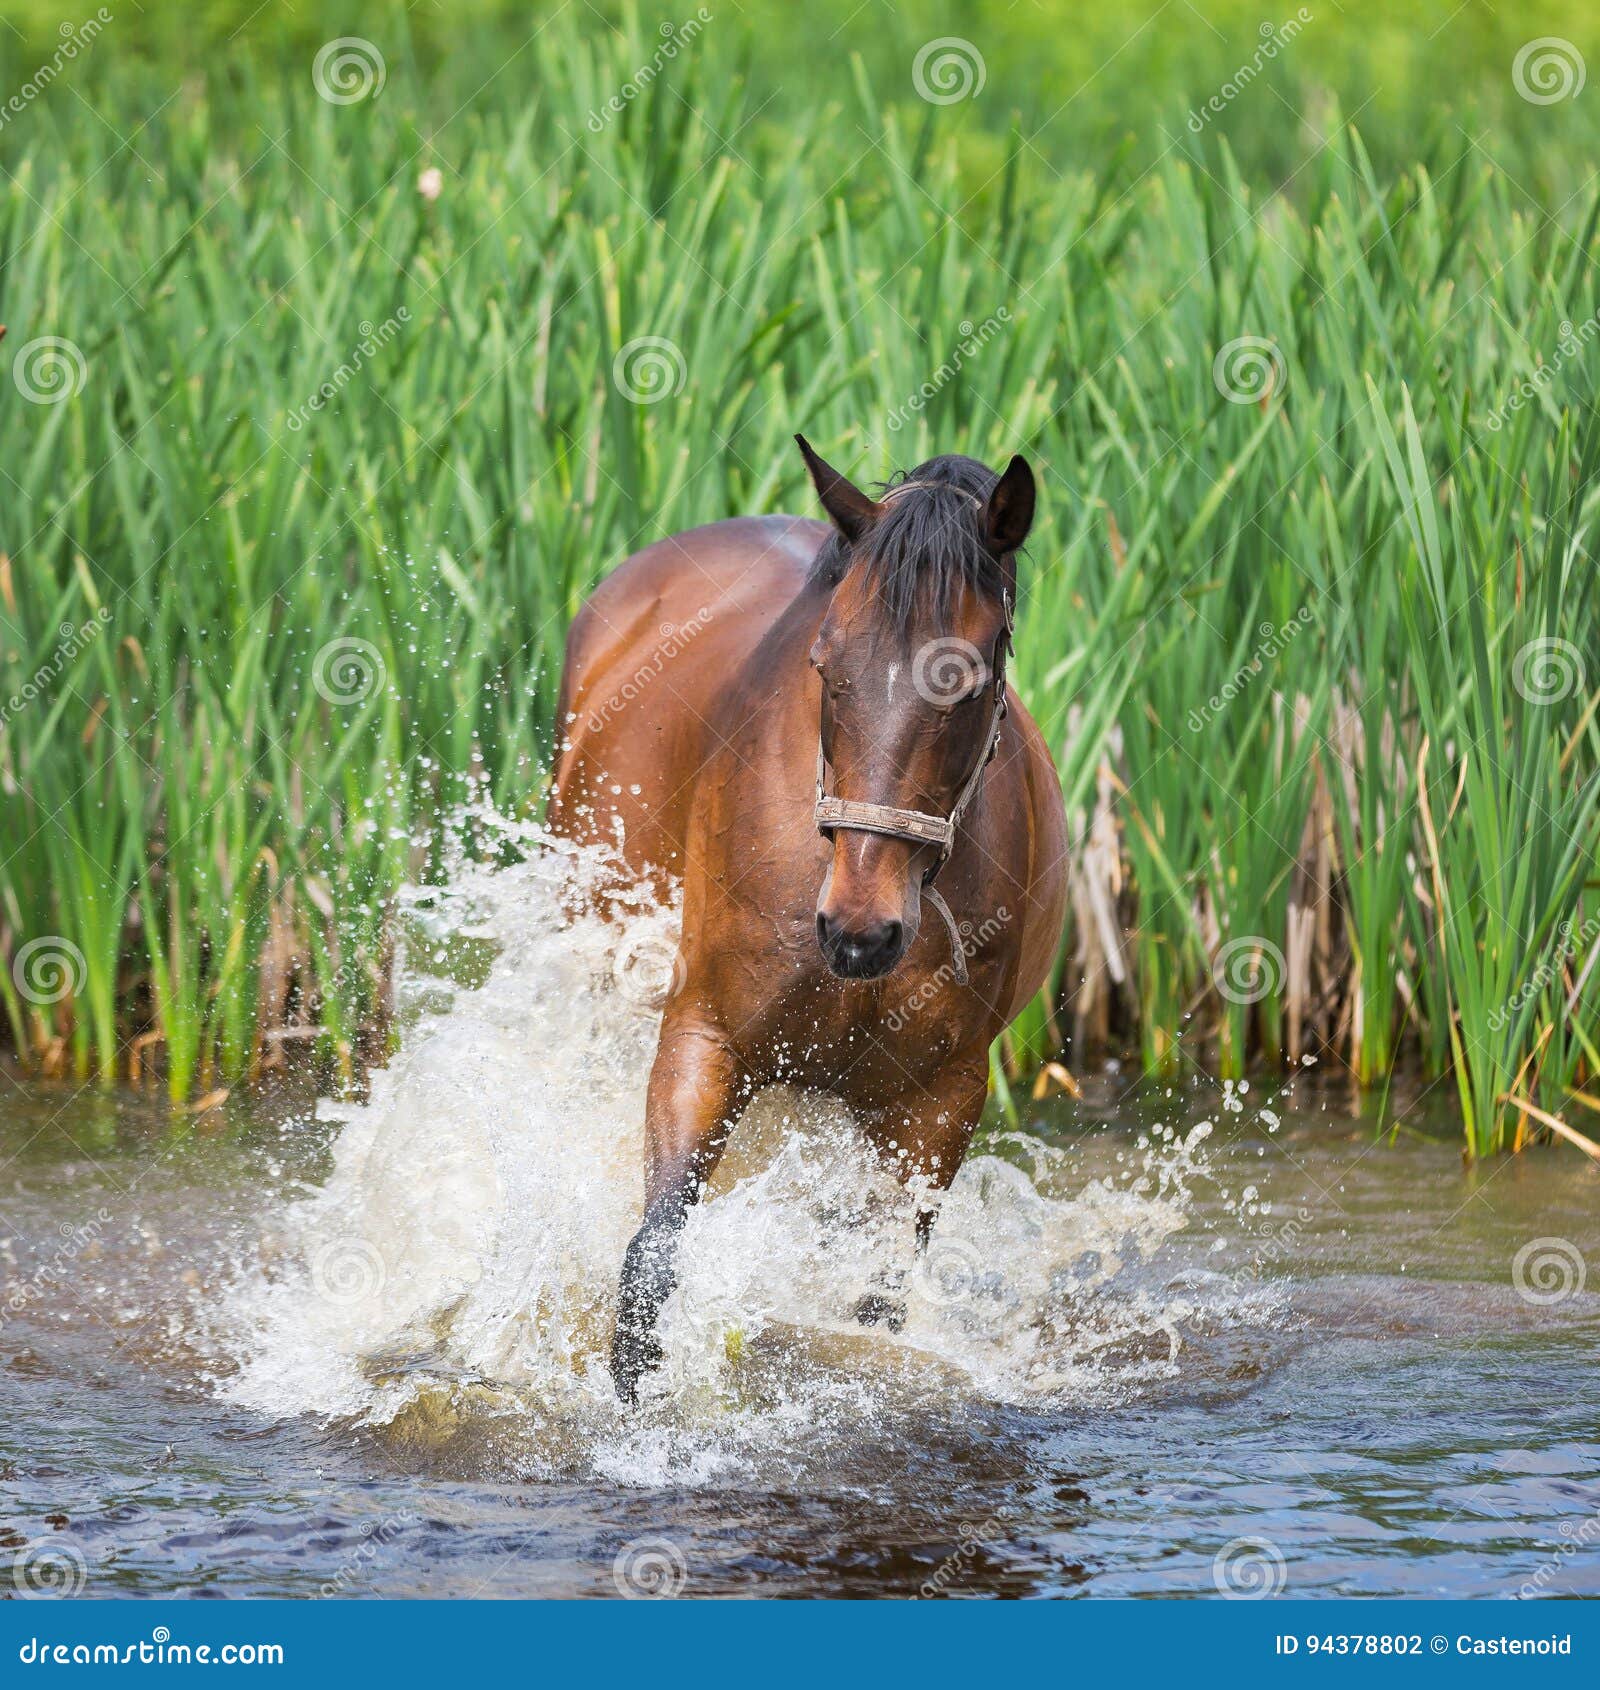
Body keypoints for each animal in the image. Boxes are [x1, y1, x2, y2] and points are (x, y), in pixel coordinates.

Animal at [547, 439, 1068, 1401]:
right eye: (827, 666)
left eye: (970, 678)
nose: (859, 932)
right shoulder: (705, 1040)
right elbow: (650, 1266)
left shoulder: (939, 1103)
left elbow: (875, 1304)